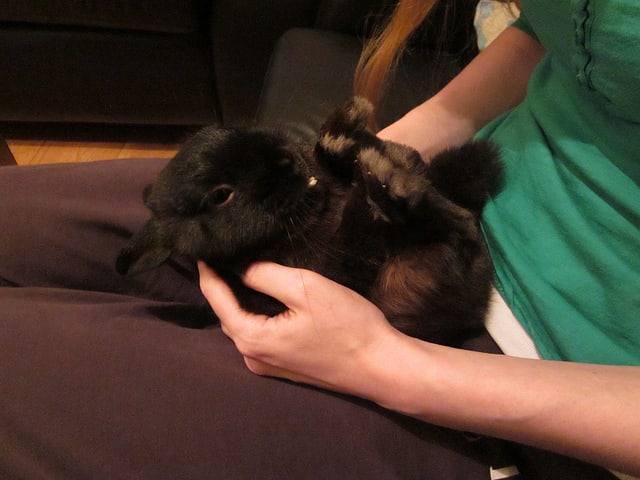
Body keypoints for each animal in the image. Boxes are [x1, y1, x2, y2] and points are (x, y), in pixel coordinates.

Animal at [116, 97, 502, 346]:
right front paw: (373, 169)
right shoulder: (339, 267)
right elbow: (357, 233)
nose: (285, 158)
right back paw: (388, 182)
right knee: (454, 225)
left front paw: (345, 127)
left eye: (231, 129)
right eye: (221, 195)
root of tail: (475, 309)